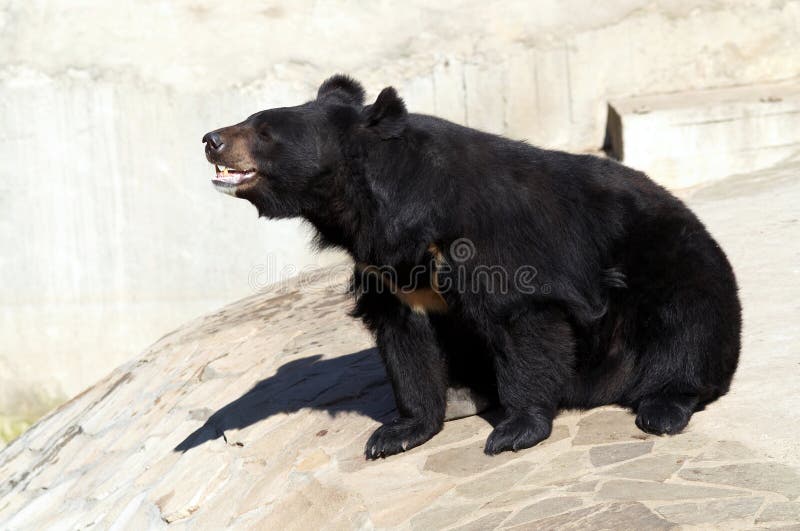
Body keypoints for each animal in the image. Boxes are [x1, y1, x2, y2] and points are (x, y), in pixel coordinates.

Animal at [202, 74, 741, 459]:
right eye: (249, 119)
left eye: (264, 131)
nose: (209, 139)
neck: (377, 209)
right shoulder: (388, 268)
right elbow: (405, 336)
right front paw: (397, 432)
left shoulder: (490, 236)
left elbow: (522, 316)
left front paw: (514, 431)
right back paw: (465, 396)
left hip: (675, 269)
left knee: (686, 330)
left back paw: (662, 407)